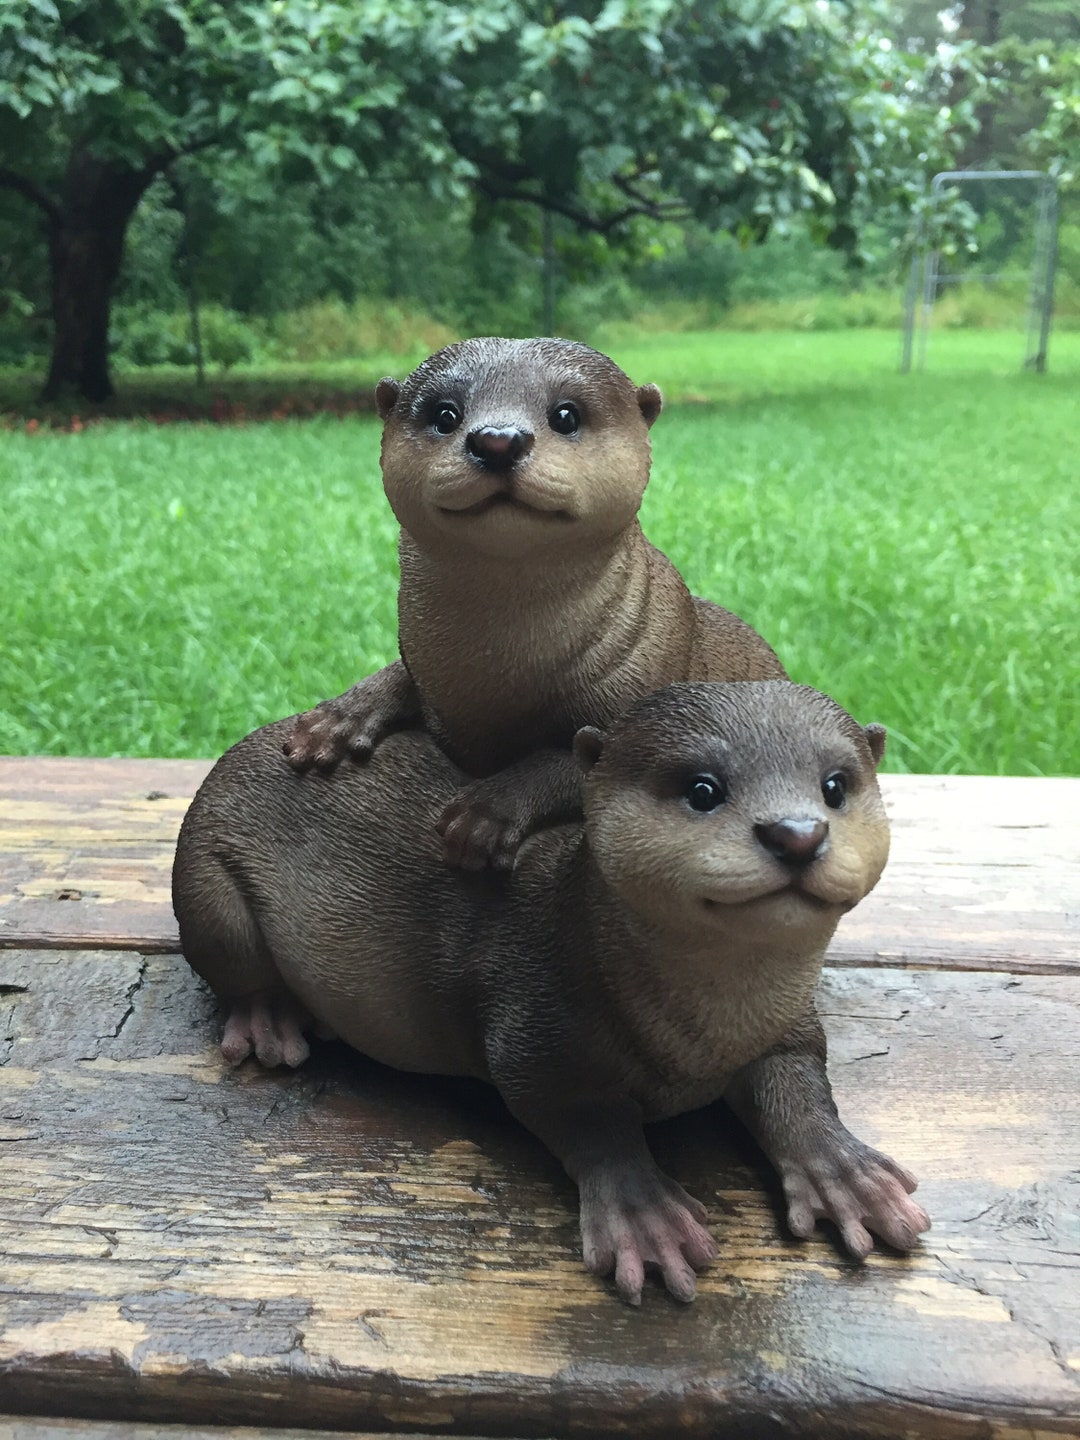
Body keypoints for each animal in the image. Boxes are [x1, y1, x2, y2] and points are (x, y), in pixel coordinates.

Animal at [173, 680, 929, 1305]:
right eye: (703, 789)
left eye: (835, 785)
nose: (797, 833)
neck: (703, 1037)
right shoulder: (534, 1025)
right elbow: (584, 1117)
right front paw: (643, 1216)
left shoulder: (786, 1023)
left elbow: (799, 1077)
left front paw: (846, 1174)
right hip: (205, 881)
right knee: (234, 967)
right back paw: (274, 1023)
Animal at [284, 337, 785, 873]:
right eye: (445, 414)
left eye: (565, 415)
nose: (497, 440)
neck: (493, 675)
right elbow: (399, 676)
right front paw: (334, 721)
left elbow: (569, 764)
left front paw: (485, 815)